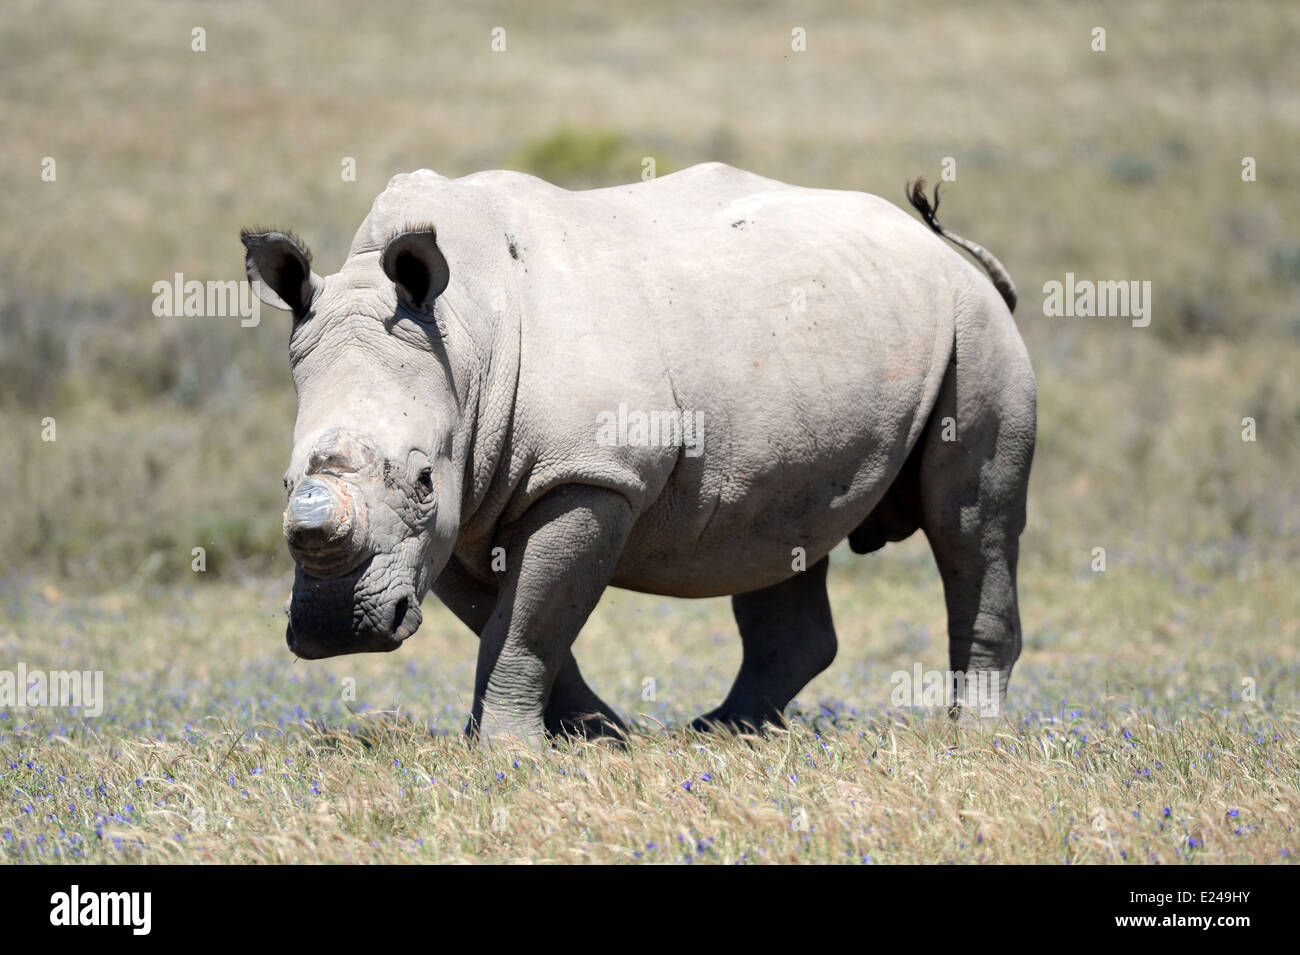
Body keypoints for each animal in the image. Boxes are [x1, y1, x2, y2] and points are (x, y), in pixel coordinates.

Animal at [241, 162, 1035, 746]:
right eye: (282, 482)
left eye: (421, 478)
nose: (336, 627)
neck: (465, 337)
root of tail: (944, 252)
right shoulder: (461, 510)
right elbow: (511, 620)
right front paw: (598, 737)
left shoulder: (587, 475)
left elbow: (527, 621)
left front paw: (508, 751)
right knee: (778, 528)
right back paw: (723, 733)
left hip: (974, 328)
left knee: (971, 526)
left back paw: (973, 737)